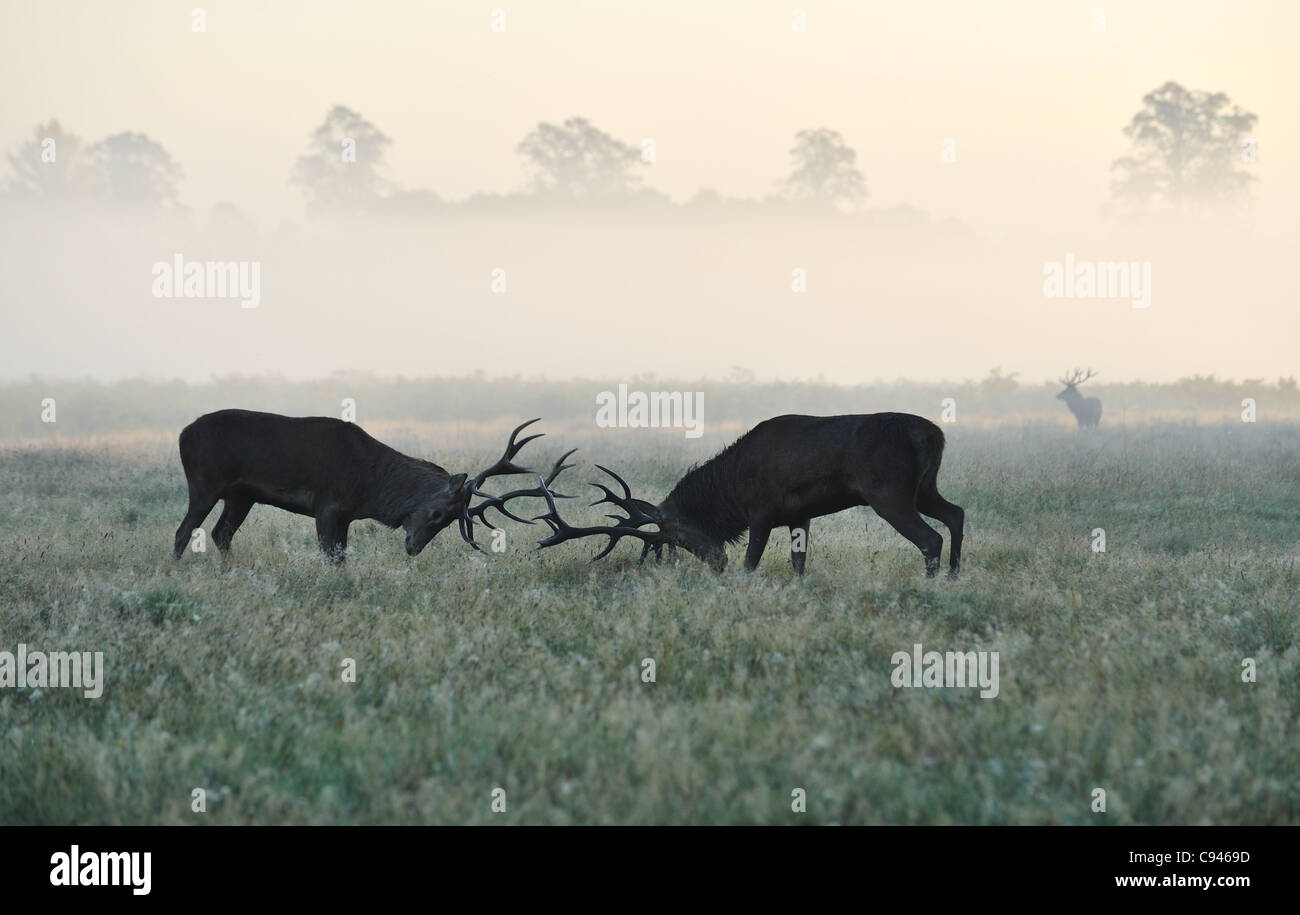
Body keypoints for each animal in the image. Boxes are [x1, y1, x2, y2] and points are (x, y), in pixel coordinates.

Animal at [172, 411, 573, 562]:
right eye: (437, 512)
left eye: (447, 523)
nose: (412, 548)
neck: (369, 487)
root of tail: (182, 434)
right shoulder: (327, 504)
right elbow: (332, 557)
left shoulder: (345, 514)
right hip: (204, 482)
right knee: (184, 531)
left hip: (241, 495)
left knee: (221, 533)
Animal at [531, 412, 964, 579]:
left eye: (680, 536)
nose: (716, 561)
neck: (732, 491)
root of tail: (936, 435)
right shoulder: (799, 515)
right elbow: (799, 564)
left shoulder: (762, 510)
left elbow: (751, 562)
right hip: (925, 489)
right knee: (956, 513)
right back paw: (954, 577)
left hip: (889, 493)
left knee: (931, 538)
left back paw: (931, 583)